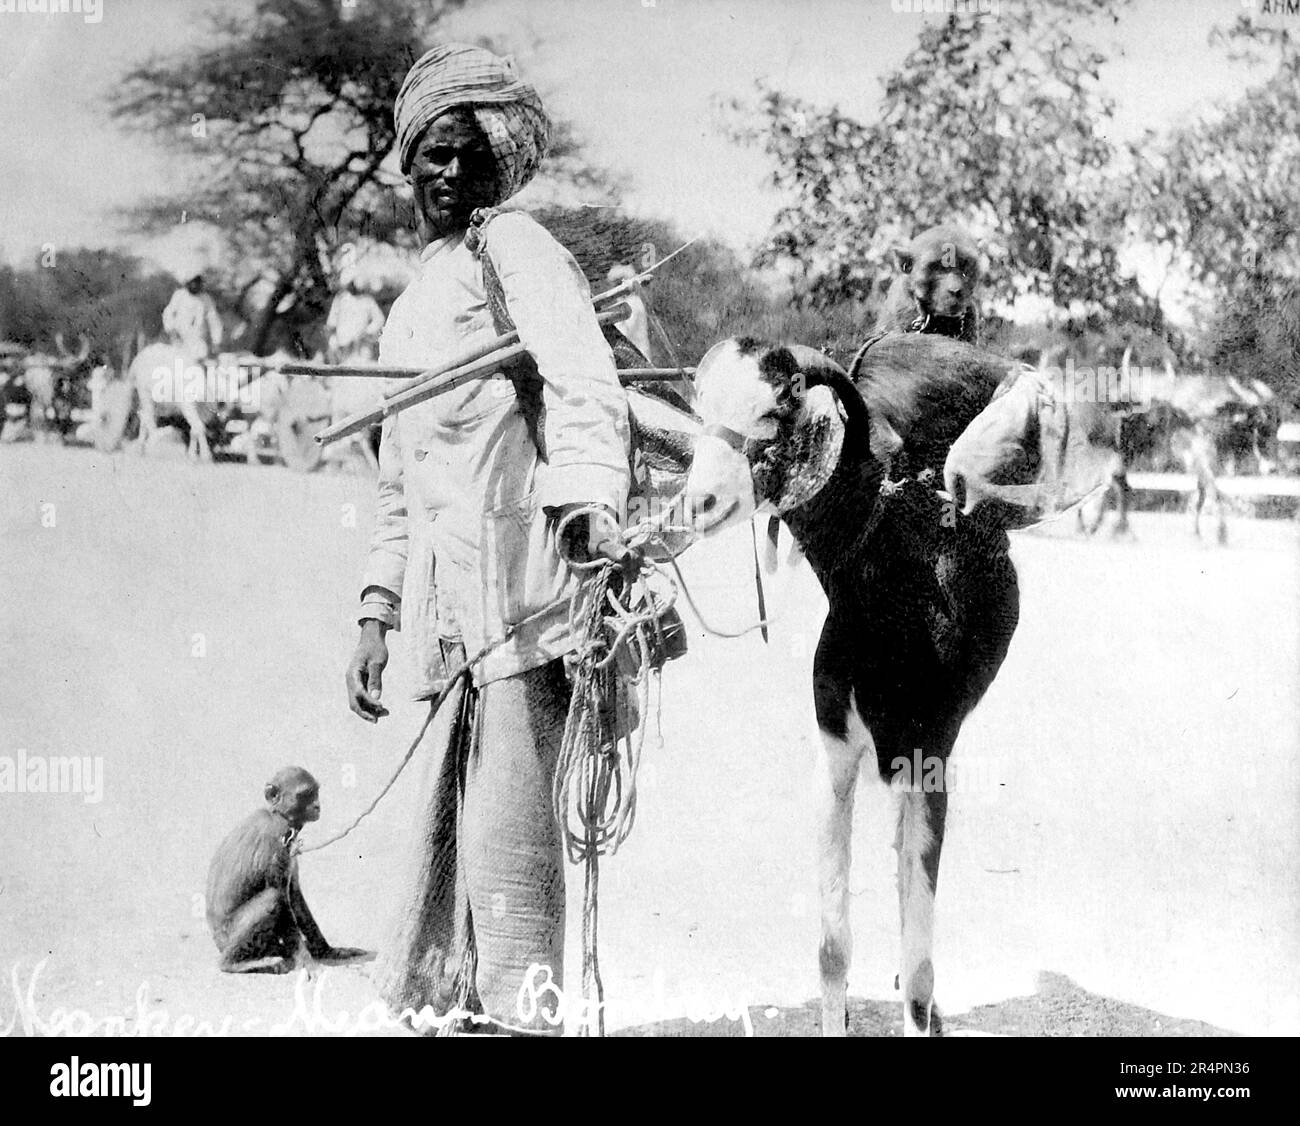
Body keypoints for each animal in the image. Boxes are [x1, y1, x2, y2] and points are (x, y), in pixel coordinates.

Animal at [206, 766, 367, 974]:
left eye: (315, 793)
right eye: (305, 795)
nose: (317, 806)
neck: (275, 814)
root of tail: (218, 942)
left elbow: (295, 895)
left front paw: (326, 951)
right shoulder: (277, 838)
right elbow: (283, 898)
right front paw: (307, 962)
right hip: (228, 936)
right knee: (272, 898)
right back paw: (231, 963)